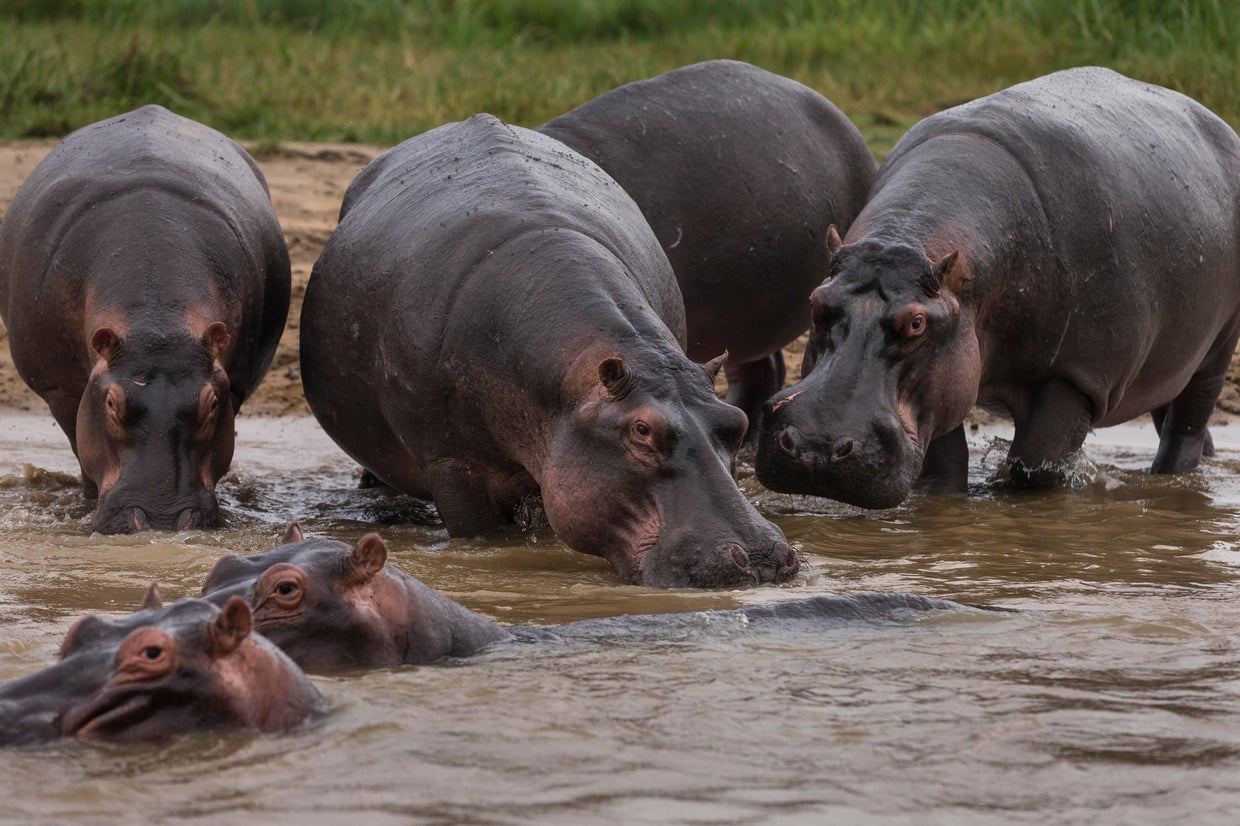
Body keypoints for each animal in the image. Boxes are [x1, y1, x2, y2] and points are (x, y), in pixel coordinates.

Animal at [0, 104, 291, 533]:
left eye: (211, 404)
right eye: (111, 403)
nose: (160, 517)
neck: (157, 320)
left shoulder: (233, 385)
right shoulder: (63, 392)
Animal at [757, 67, 1240, 507]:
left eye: (916, 323)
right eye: (815, 302)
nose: (816, 448)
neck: (908, 240)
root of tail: (1217, 122)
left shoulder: (1075, 375)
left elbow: (1035, 465)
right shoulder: (947, 378)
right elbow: (944, 463)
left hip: (1217, 348)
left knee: (1187, 423)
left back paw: (1172, 477)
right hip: (1174, 353)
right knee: (1177, 412)